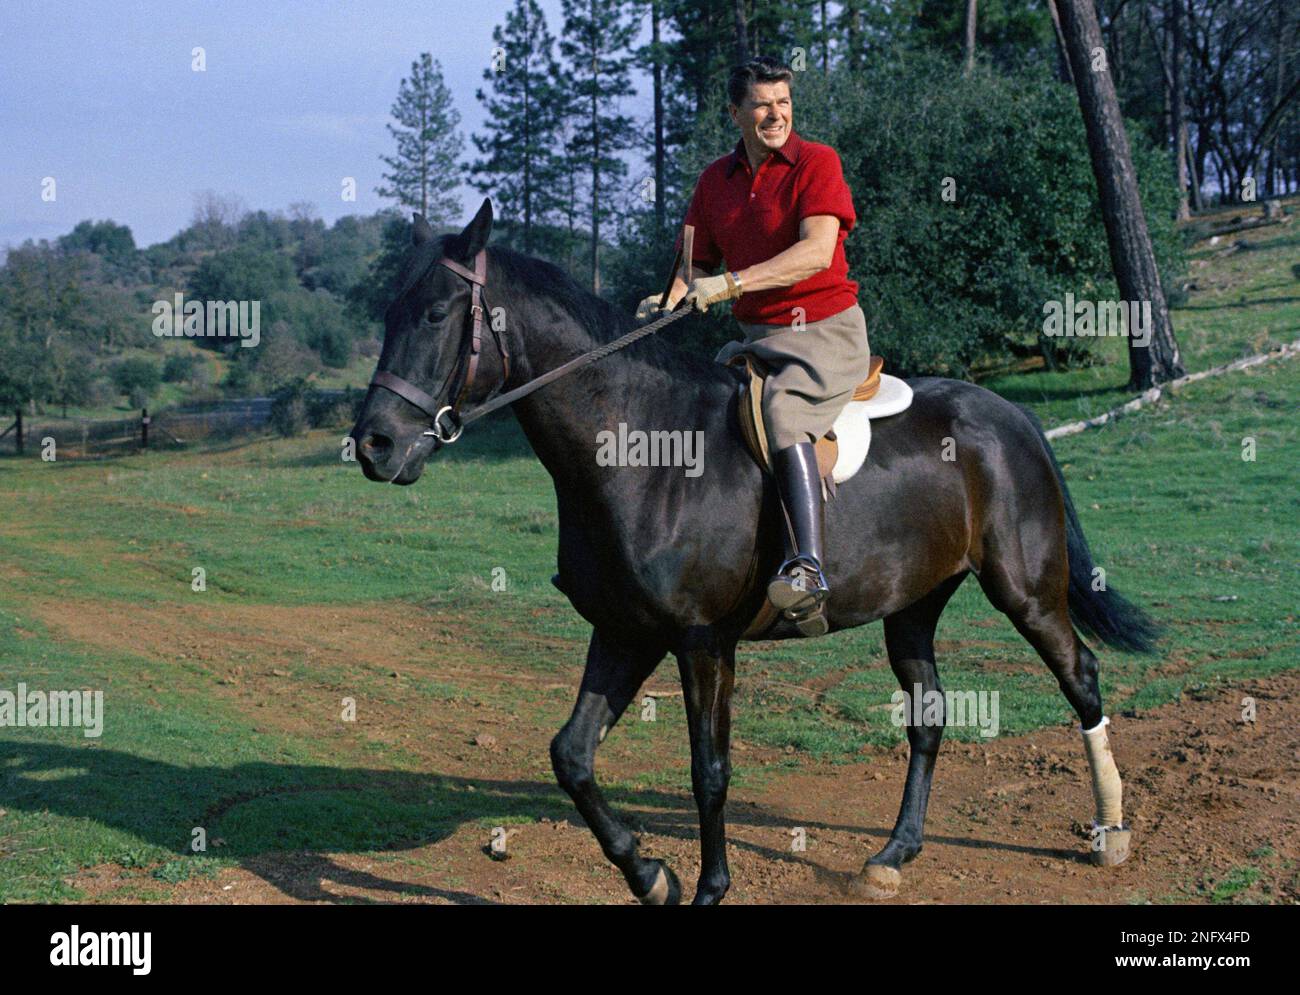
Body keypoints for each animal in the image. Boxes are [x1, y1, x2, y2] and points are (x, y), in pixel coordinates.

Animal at [349, 199, 1159, 905]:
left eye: (435, 314)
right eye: (386, 314)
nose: (374, 445)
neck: (643, 446)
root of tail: (1011, 416)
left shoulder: (702, 641)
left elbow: (710, 769)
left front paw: (709, 886)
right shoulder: (625, 630)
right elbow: (571, 755)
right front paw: (650, 875)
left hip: (1025, 589)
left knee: (1082, 677)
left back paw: (1111, 831)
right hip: (913, 604)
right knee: (927, 714)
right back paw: (893, 856)